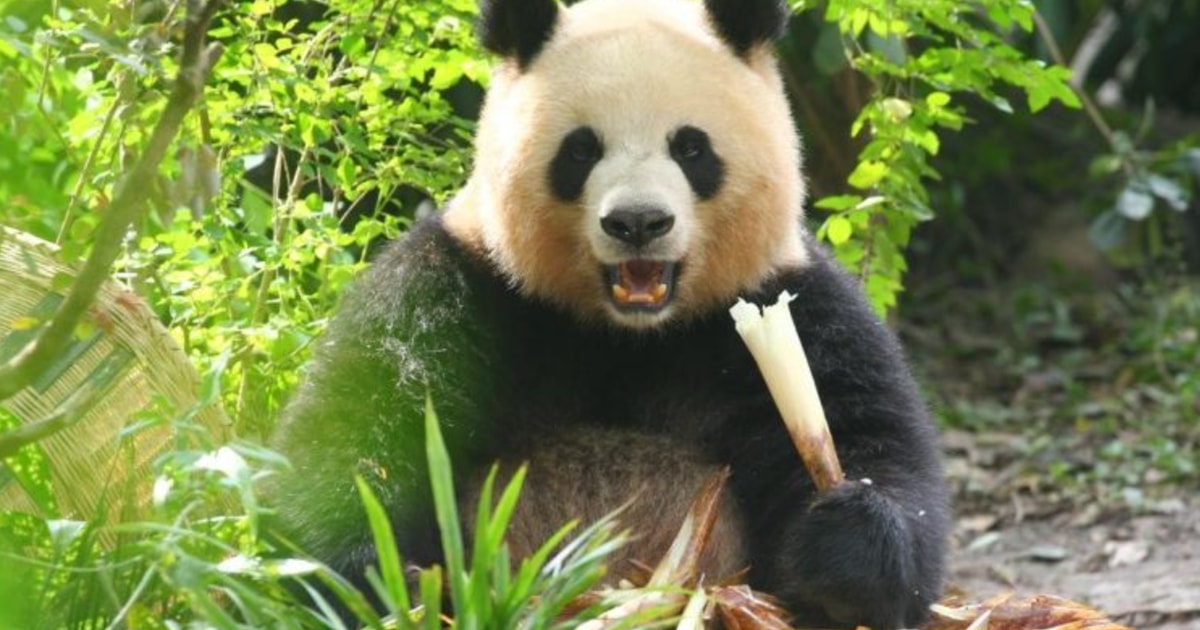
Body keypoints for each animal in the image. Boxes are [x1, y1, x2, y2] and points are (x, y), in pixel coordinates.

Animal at [269, 0, 950, 628]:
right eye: (580, 151)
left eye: (691, 147)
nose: (638, 222)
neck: (627, 333)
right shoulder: (460, 286)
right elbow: (359, 431)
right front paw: (393, 579)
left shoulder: (788, 307)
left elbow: (877, 444)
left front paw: (842, 547)